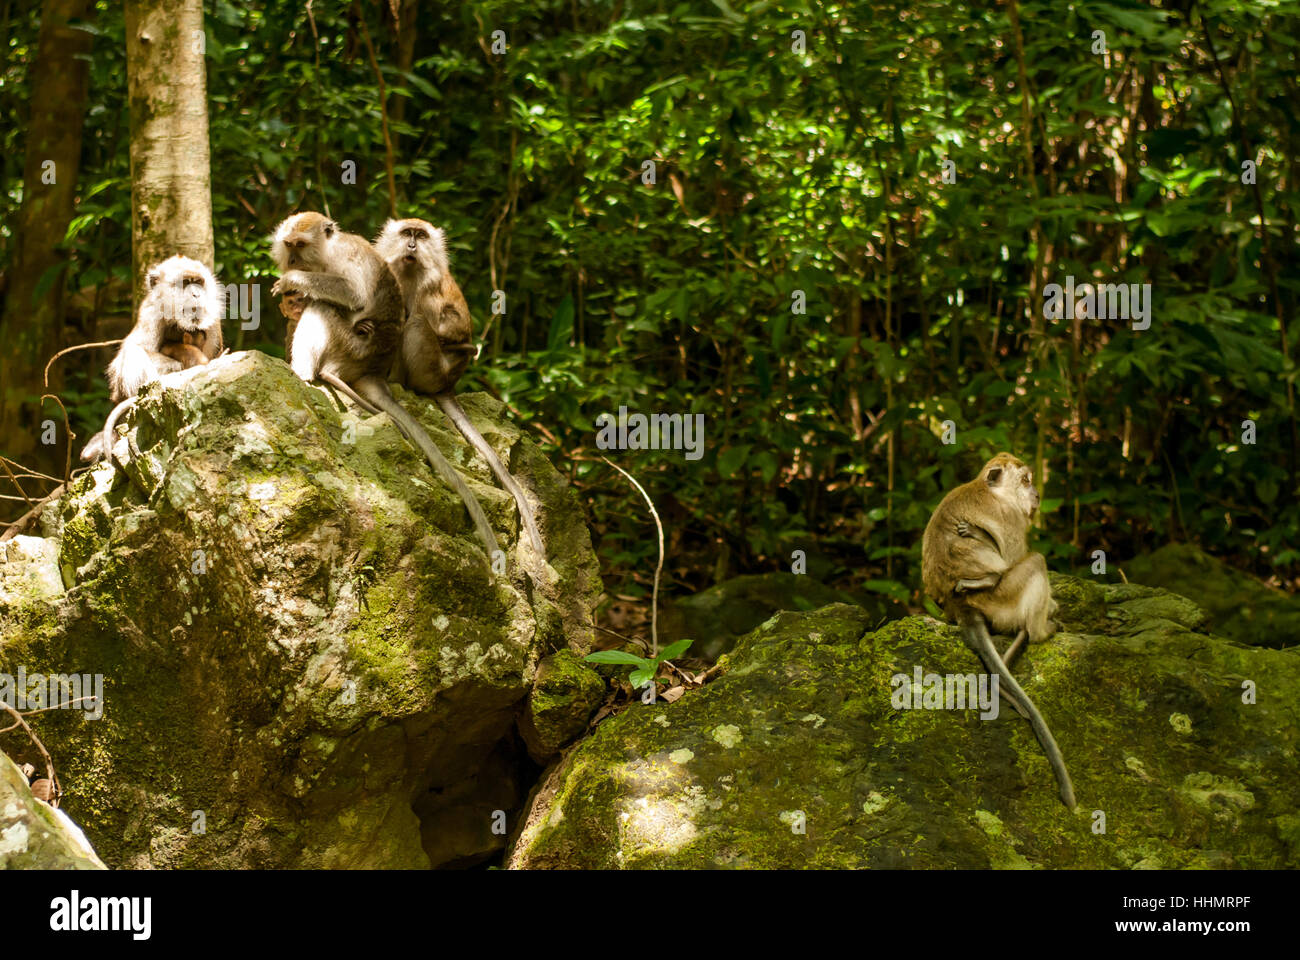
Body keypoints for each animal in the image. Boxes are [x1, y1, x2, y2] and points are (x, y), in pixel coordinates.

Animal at [80, 255, 225, 463]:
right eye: (185, 283)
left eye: (198, 282)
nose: (196, 294)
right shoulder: (151, 312)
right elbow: (136, 349)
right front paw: (180, 364)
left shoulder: (212, 319)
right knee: (134, 355)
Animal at [270, 212, 501, 561]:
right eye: (289, 245)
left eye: (300, 245)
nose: (293, 261)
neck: (325, 254)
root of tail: (370, 370)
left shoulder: (346, 258)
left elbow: (351, 293)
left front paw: (292, 280)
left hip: (351, 348)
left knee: (325, 307)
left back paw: (303, 374)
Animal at [373, 217, 545, 558]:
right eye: (407, 234)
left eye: (421, 235)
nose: (411, 245)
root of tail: (447, 384)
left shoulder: (428, 285)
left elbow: (432, 322)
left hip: (429, 371)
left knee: (415, 323)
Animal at [921, 452, 1075, 809]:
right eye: (1025, 480)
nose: (1036, 495)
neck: (992, 491)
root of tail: (961, 608)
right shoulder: (1010, 517)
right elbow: (1017, 555)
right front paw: (1054, 608)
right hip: (1004, 598)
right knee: (1033, 562)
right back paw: (1040, 628)